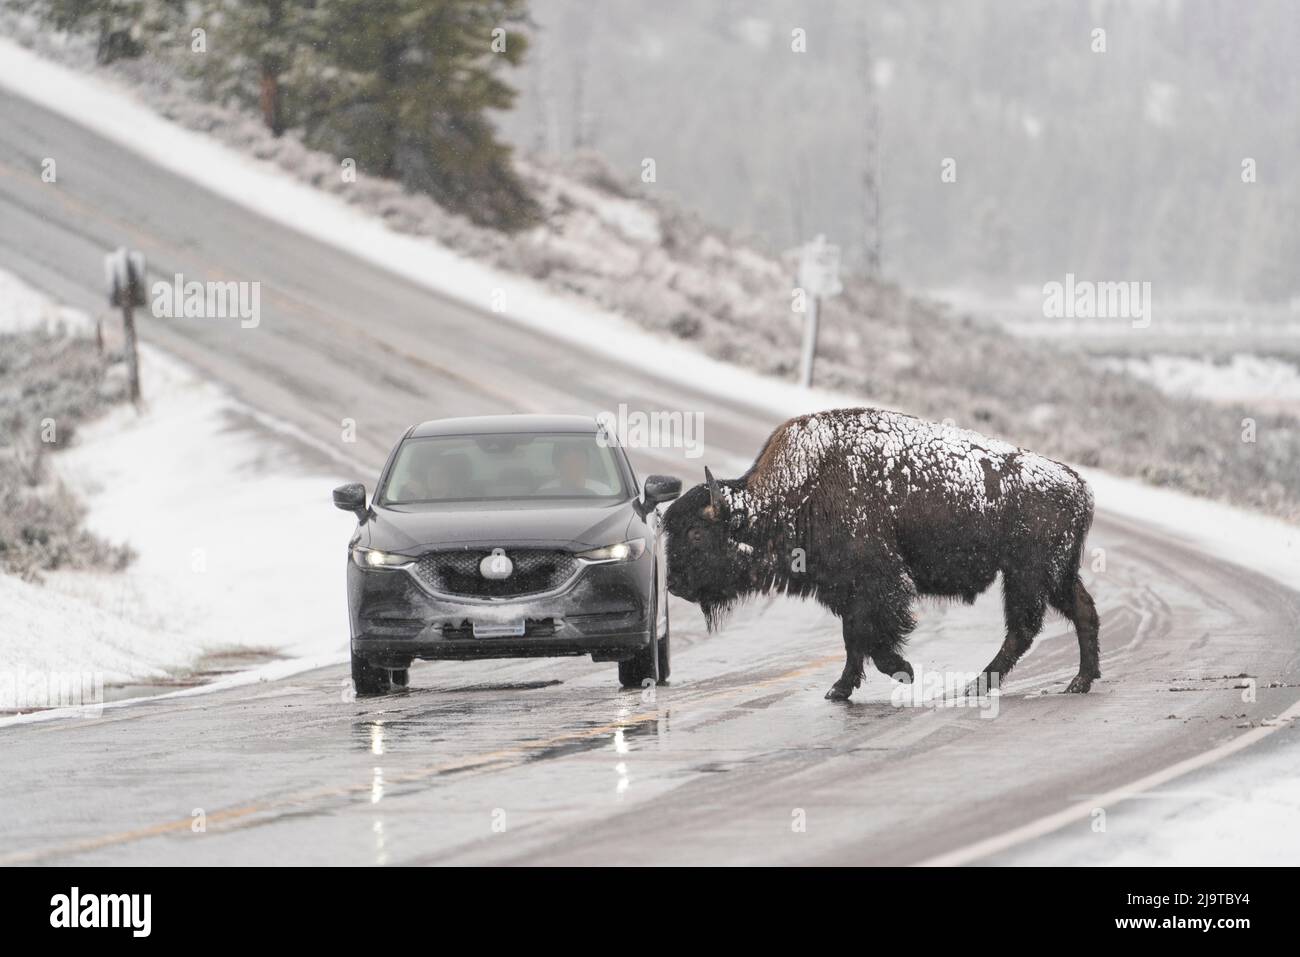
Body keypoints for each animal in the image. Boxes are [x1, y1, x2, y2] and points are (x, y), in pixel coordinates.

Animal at [664, 408, 1100, 701]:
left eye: (697, 533)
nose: (672, 584)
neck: (799, 491)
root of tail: (1077, 484)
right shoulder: (846, 589)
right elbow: (852, 638)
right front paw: (839, 689)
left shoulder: (878, 583)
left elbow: (868, 635)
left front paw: (902, 671)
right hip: (1053, 575)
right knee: (1081, 612)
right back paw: (1079, 681)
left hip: (1028, 575)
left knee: (1024, 628)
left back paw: (977, 686)